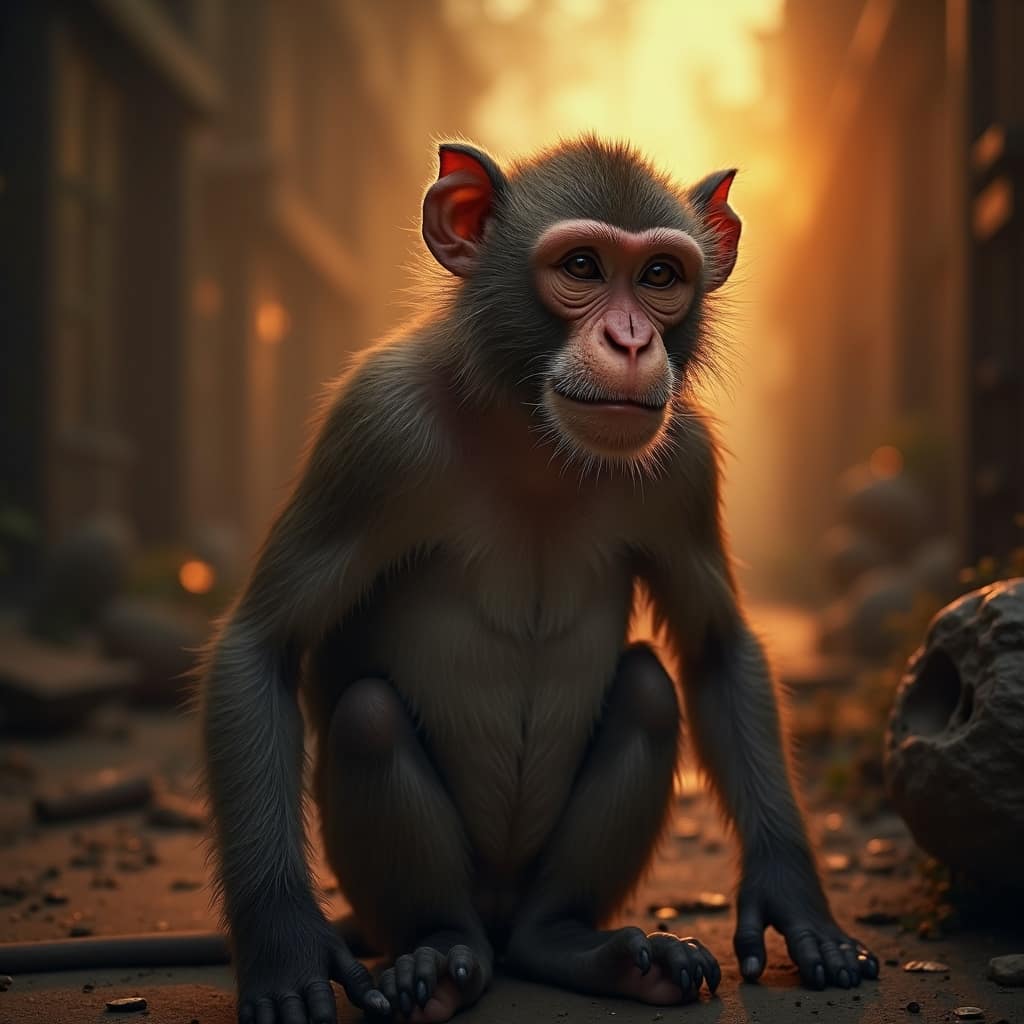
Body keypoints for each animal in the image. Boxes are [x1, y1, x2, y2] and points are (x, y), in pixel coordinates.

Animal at [197, 137, 879, 1024]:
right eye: (583, 266)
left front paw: (794, 897)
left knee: (649, 695)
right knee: (370, 721)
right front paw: (283, 950)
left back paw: (578, 946)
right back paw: (441, 956)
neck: (530, 429)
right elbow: (261, 646)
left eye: (659, 276)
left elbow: (715, 648)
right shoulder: (375, 426)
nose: (631, 340)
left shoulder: (684, 461)